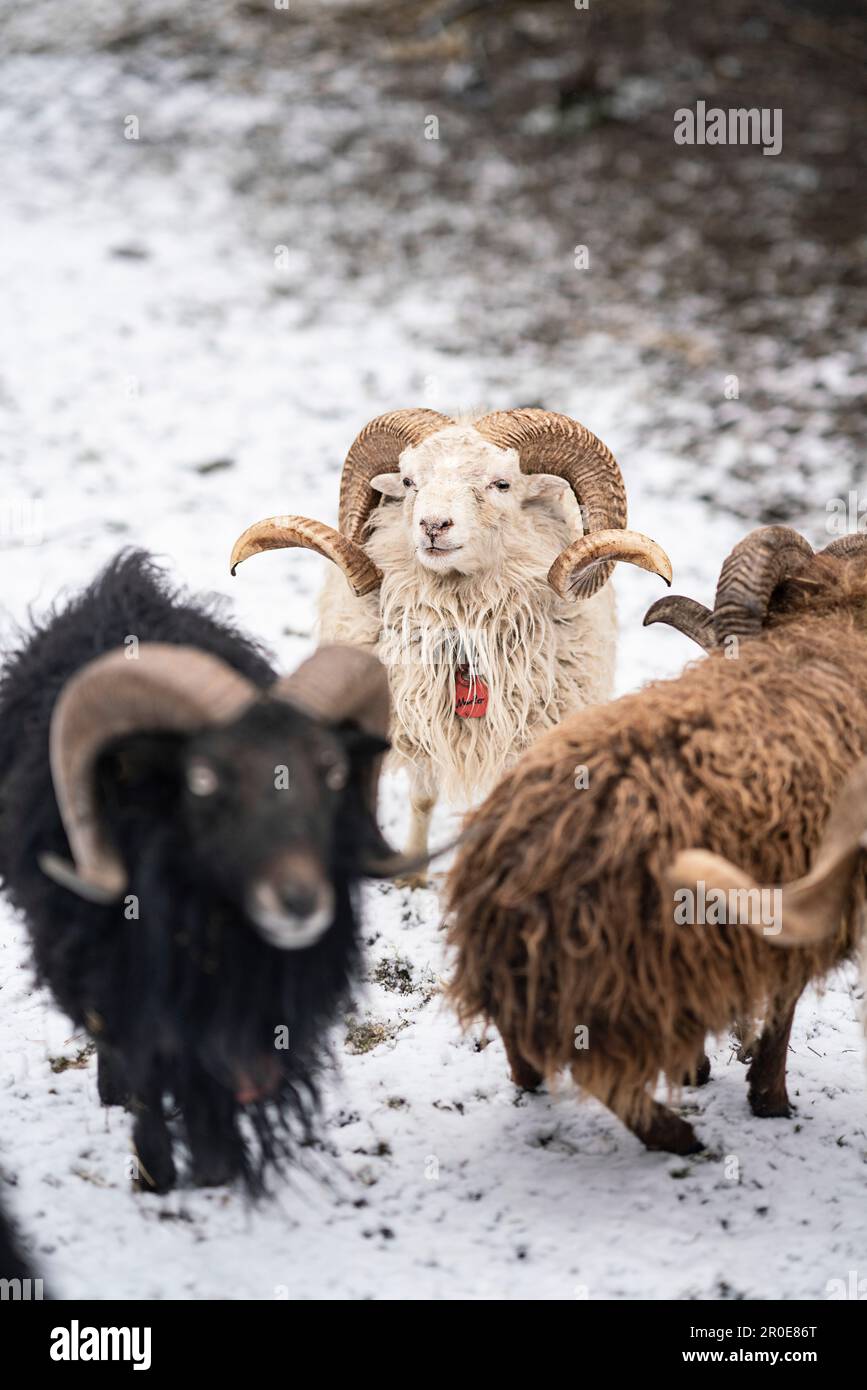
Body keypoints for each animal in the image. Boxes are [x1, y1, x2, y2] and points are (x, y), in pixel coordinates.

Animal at [0, 551, 406, 1193]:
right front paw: (156, 1172)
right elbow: (144, 1063)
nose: (300, 903)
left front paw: (216, 1164)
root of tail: (125, 584)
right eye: (205, 780)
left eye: (333, 774)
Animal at [229, 408, 672, 880]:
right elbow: (422, 798)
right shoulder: (416, 725)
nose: (433, 525)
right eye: (409, 481)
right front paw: (412, 874)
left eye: (502, 484)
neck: (462, 631)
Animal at [445, 526, 867, 1155]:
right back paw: (676, 1134)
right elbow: (784, 1007)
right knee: (597, 1069)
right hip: (624, 972)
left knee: (527, 1052)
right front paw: (770, 1099)